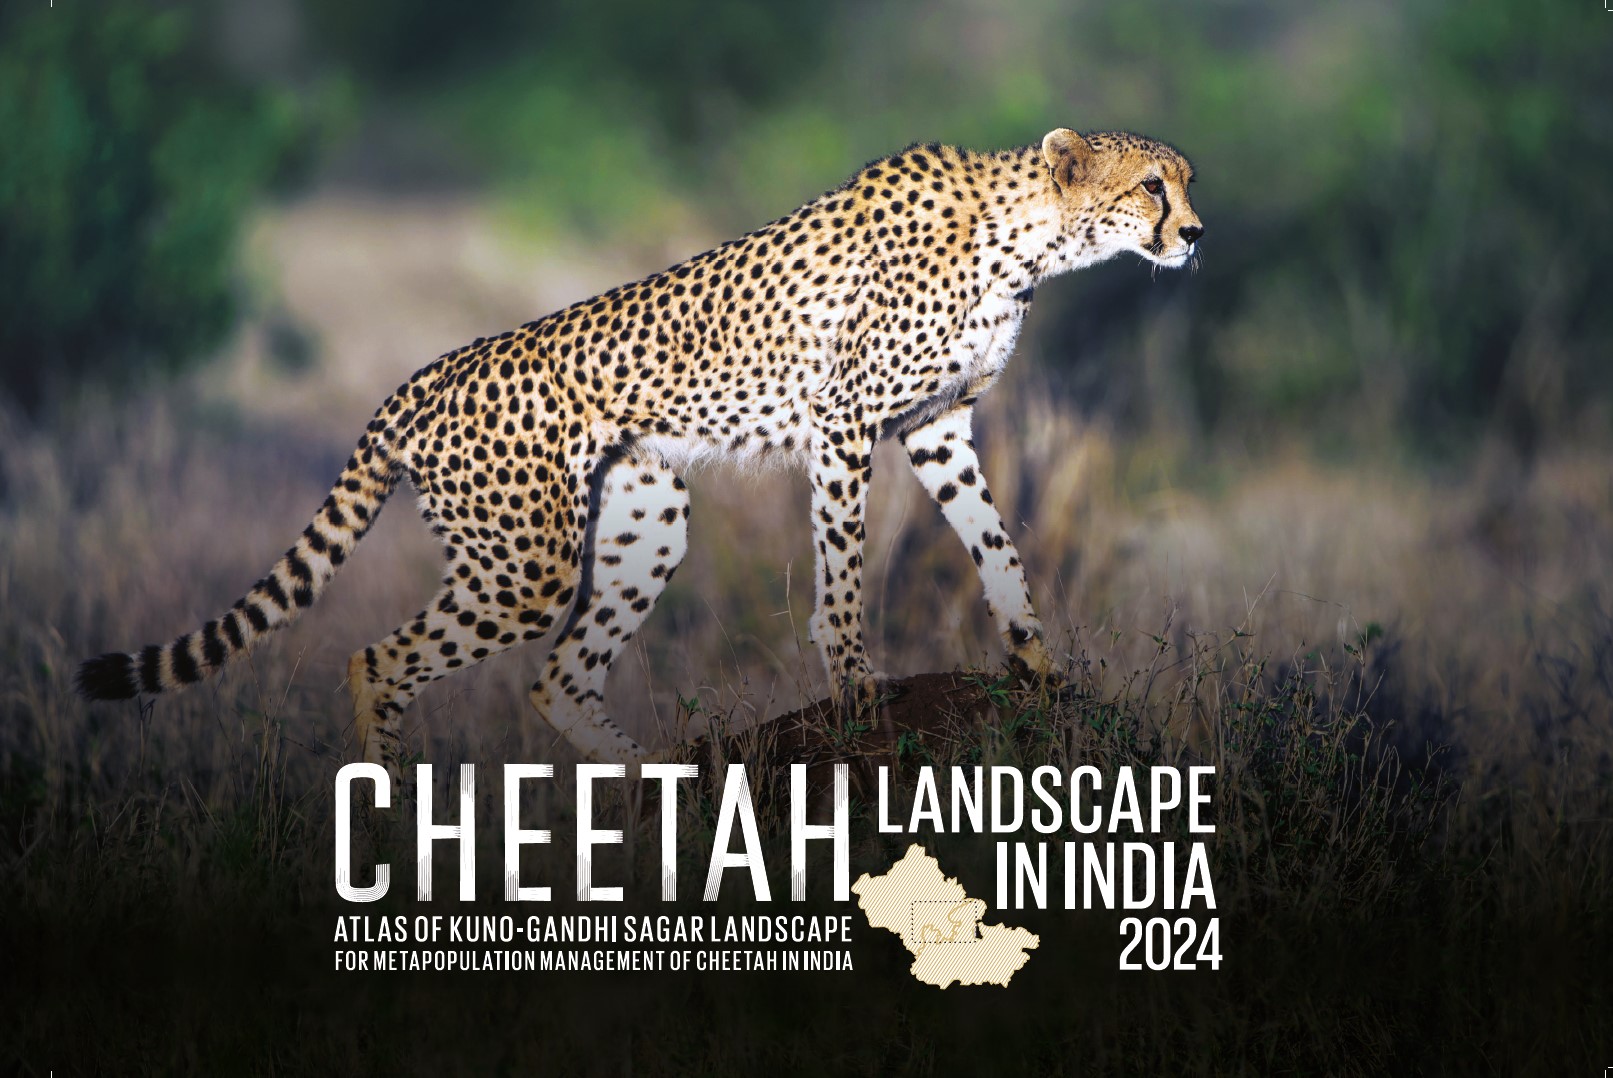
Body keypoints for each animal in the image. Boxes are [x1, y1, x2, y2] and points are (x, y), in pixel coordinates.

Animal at [76, 127, 1203, 772]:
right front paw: (853, 691)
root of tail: (421, 375)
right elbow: (841, 572)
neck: (1027, 239)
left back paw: (652, 778)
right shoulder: (845, 422)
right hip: (525, 561)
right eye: (1151, 186)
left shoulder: (935, 425)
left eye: (1183, 183)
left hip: (645, 520)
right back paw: (391, 811)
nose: (1193, 234)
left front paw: (1039, 663)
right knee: (377, 657)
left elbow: (995, 544)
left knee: (555, 678)